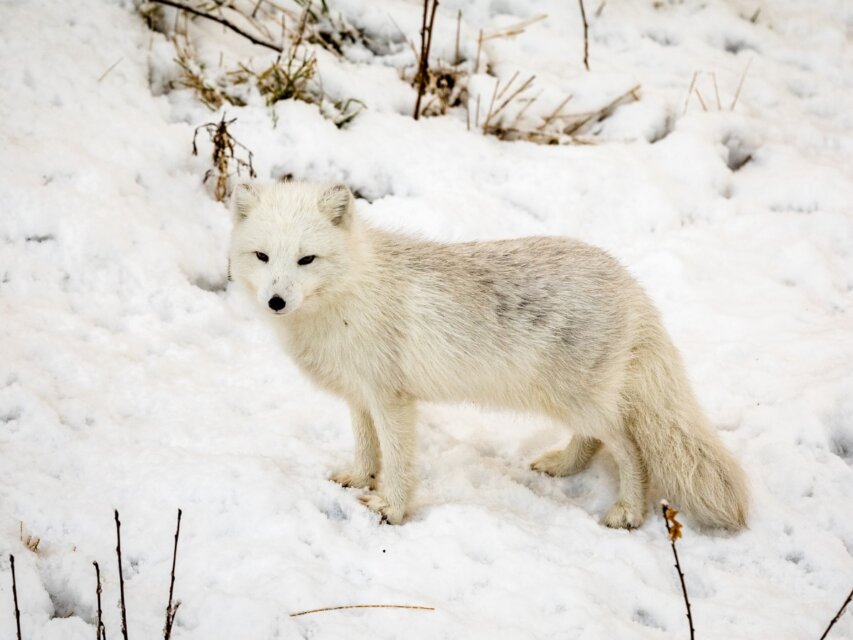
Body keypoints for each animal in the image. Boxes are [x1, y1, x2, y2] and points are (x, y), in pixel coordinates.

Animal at [227, 180, 749, 530]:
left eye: (306, 260)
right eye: (262, 257)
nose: (276, 301)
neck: (350, 293)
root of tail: (630, 282)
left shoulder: (392, 398)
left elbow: (396, 459)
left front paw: (392, 509)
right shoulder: (360, 395)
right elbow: (366, 448)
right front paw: (360, 478)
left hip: (575, 399)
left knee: (630, 448)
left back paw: (627, 512)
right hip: (571, 399)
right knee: (596, 441)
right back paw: (564, 466)